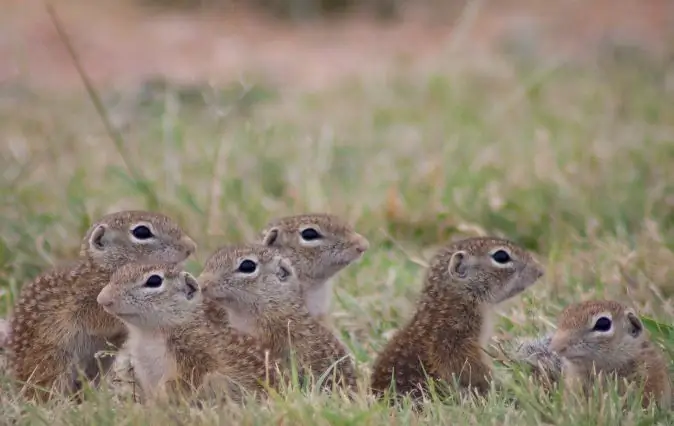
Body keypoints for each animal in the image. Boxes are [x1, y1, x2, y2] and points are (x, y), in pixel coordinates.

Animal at [97, 262, 270, 402]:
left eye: (154, 281)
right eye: (119, 272)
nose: (103, 299)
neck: (149, 333)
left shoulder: (196, 355)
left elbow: (185, 380)